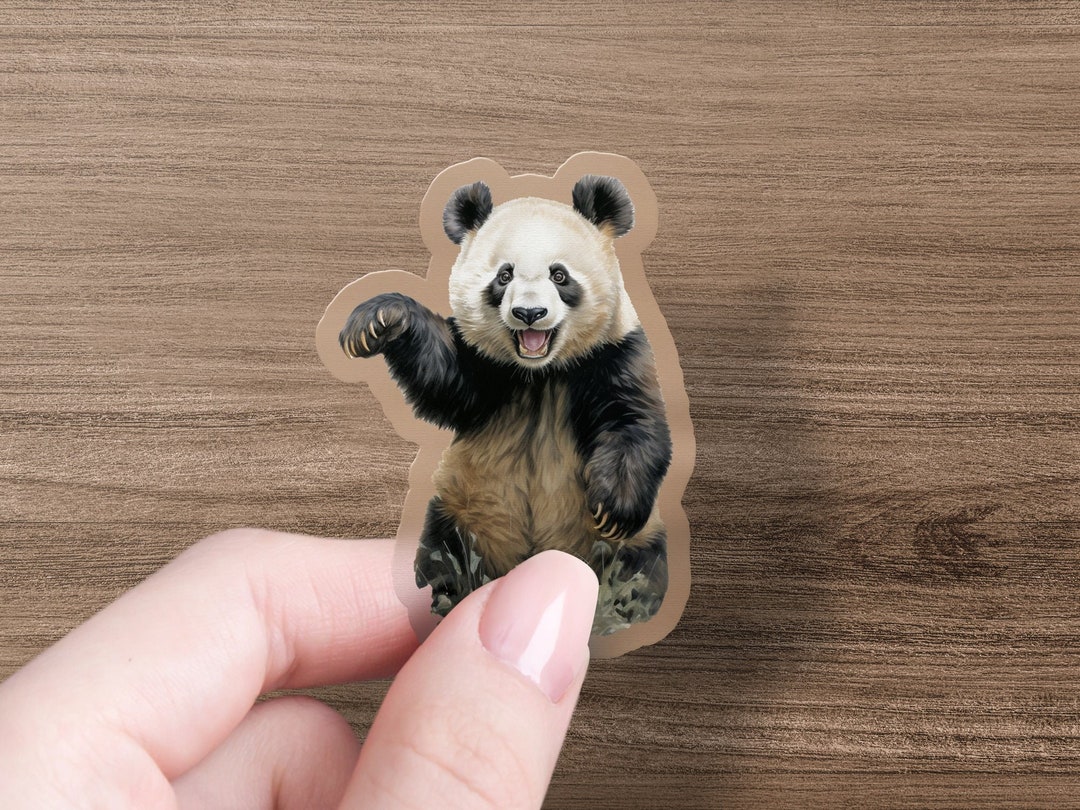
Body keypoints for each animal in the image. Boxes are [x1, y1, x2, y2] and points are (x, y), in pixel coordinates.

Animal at [339, 174, 672, 635]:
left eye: (559, 274)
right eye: (504, 275)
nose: (529, 312)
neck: (540, 375)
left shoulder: (614, 354)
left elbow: (633, 421)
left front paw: (613, 507)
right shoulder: (489, 372)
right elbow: (446, 382)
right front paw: (382, 318)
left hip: (622, 545)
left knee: (637, 568)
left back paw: (621, 609)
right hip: (462, 509)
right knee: (443, 551)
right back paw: (449, 592)